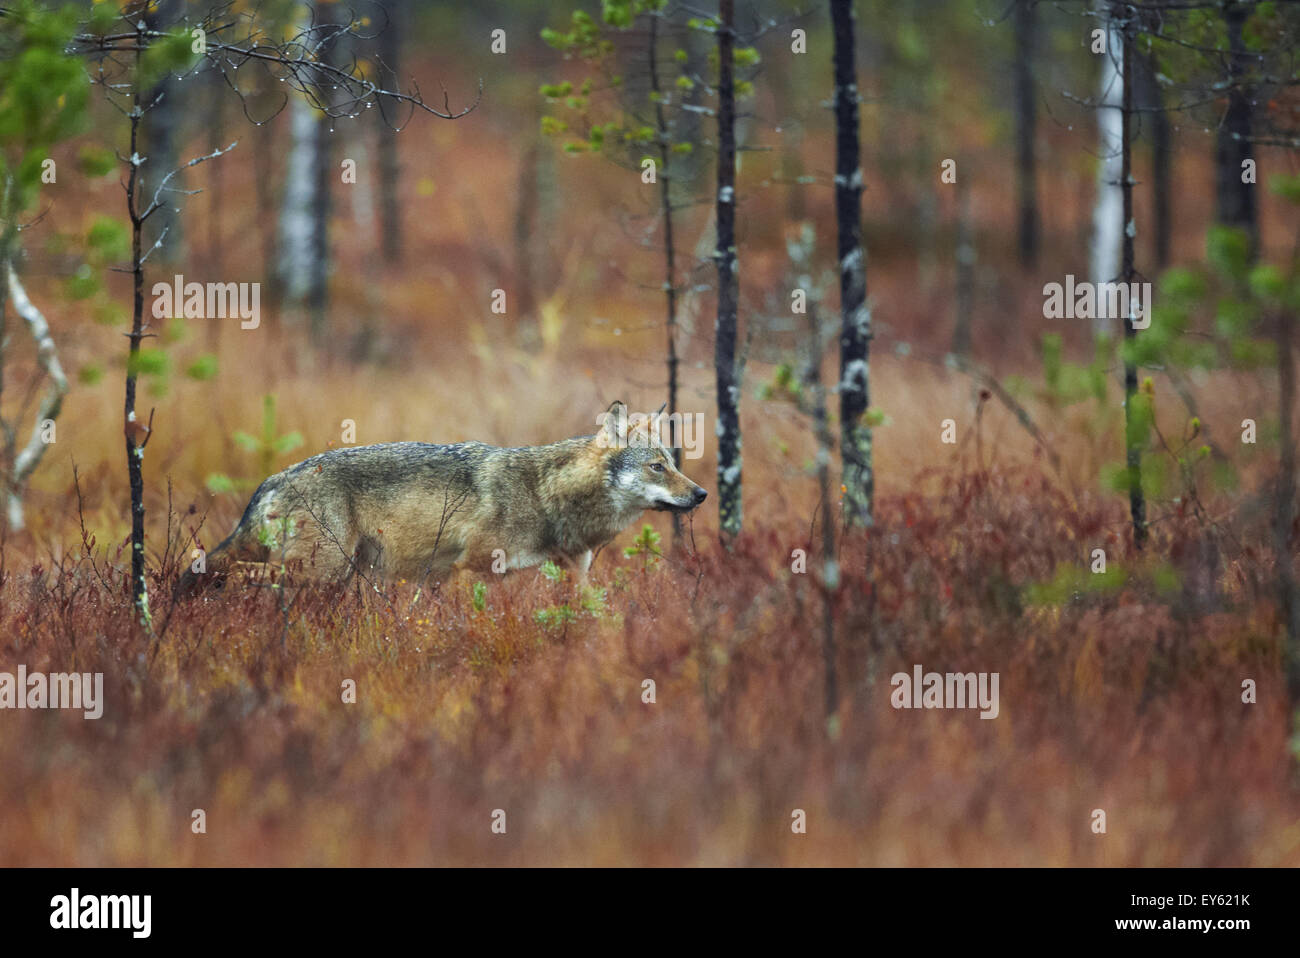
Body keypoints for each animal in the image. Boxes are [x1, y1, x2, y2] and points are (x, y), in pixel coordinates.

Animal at [178, 401, 706, 593]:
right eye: (657, 467)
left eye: (674, 462)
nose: (701, 494)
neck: (545, 494)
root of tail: (271, 479)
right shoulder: (467, 570)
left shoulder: (576, 574)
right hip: (322, 569)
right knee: (233, 573)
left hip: (339, 573)